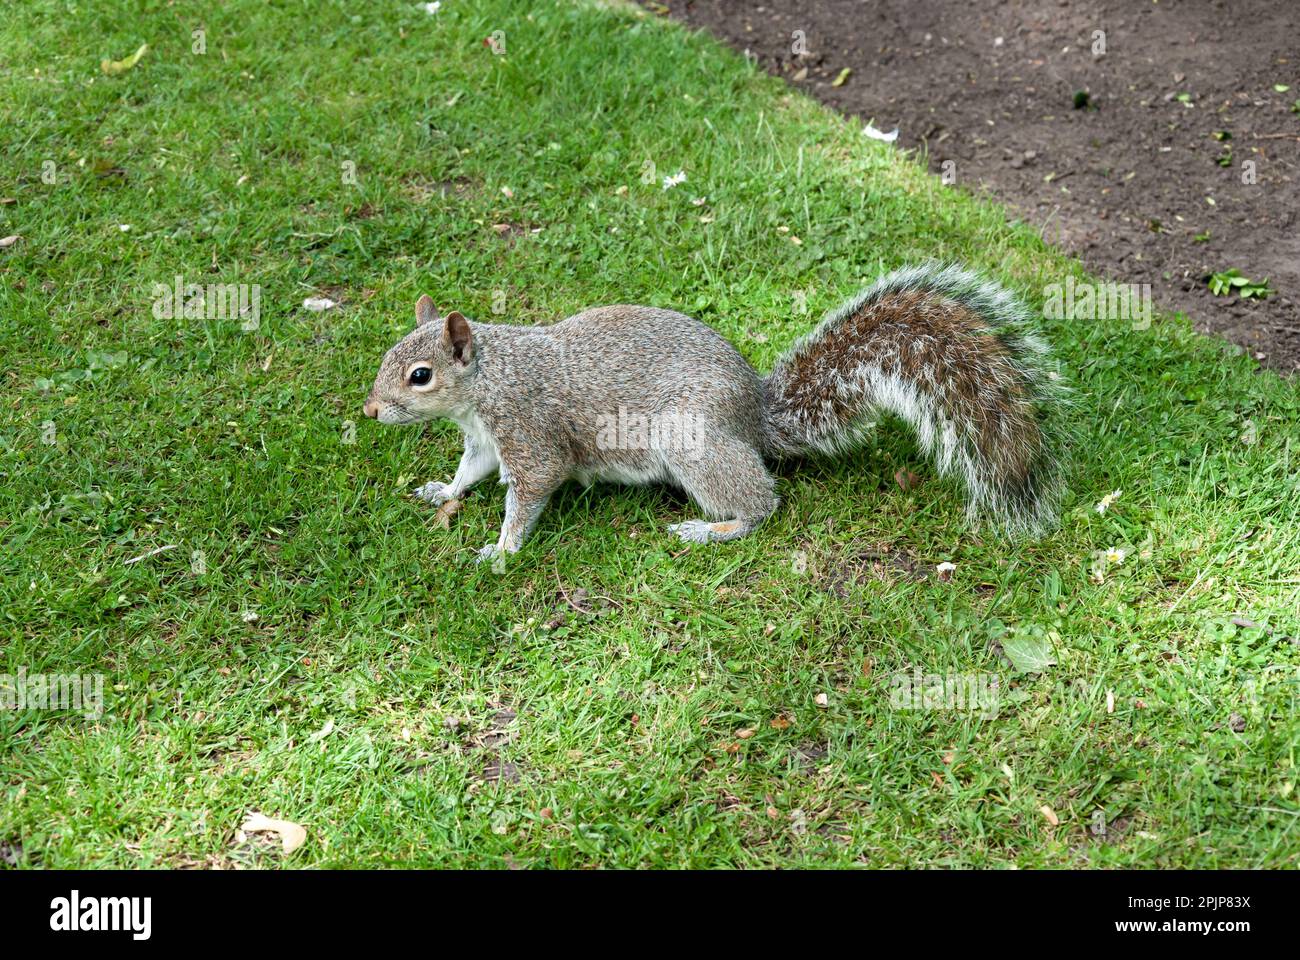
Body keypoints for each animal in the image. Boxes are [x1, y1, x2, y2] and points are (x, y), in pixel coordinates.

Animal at [363, 263, 1070, 563]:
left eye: (420, 375)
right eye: (390, 354)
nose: (370, 410)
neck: (489, 381)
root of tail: (754, 412)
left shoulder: (530, 435)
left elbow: (530, 490)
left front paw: (501, 550)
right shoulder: (486, 439)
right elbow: (471, 471)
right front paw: (442, 491)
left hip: (691, 442)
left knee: (764, 503)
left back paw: (712, 529)